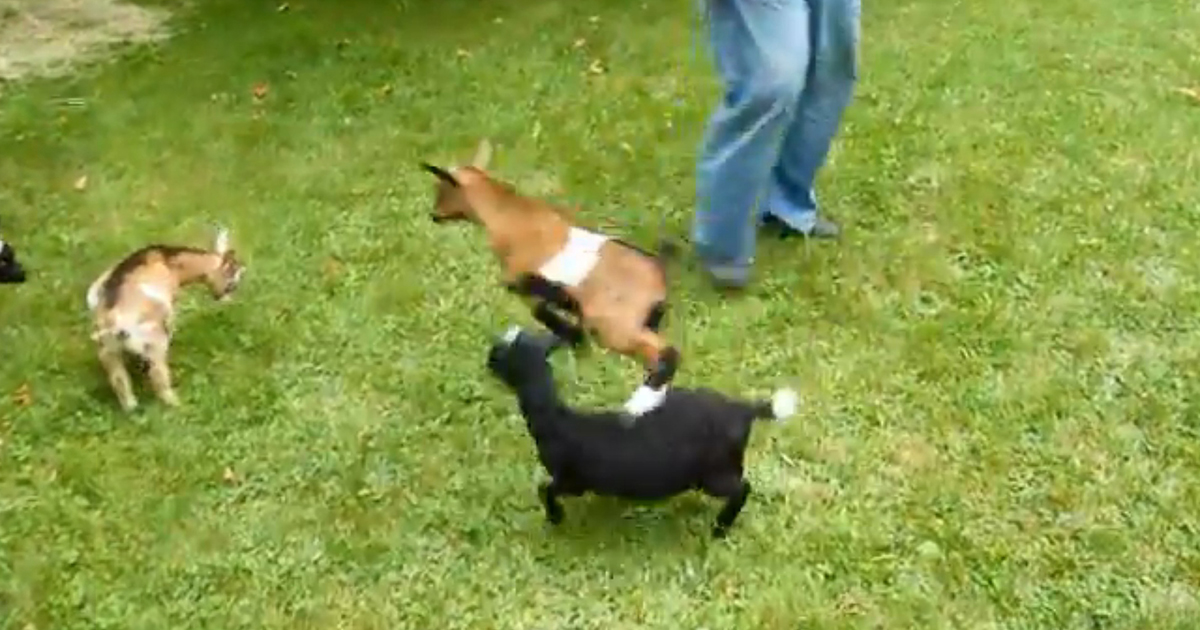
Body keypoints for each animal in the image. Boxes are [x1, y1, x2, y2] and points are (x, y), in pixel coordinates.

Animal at [85, 227, 245, 411]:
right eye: (232, 284)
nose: (226, 300)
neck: (169, 260)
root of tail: (114, 322)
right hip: (155, 342)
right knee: (158, 375)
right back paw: (177, 403)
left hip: (107, 351)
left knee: (119, 380)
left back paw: (132, 407)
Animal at [422, 139, 681, 420]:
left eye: (442, 191)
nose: (433, 215)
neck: (506, 212)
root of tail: (659, 277)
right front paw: (571, 335)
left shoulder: (519, 276)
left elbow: (536, 304)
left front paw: (571, 335)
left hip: (616, 325)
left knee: (666, 352)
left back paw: (641, 401)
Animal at [486, 325, 798, 538]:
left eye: (501, 353)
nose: (487, 359)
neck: (554, 417)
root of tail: (742, 409)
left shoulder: (572, 480)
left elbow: (544, 489)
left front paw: (556, 517)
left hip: (713, 474)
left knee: (742, 488)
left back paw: (720, 528)